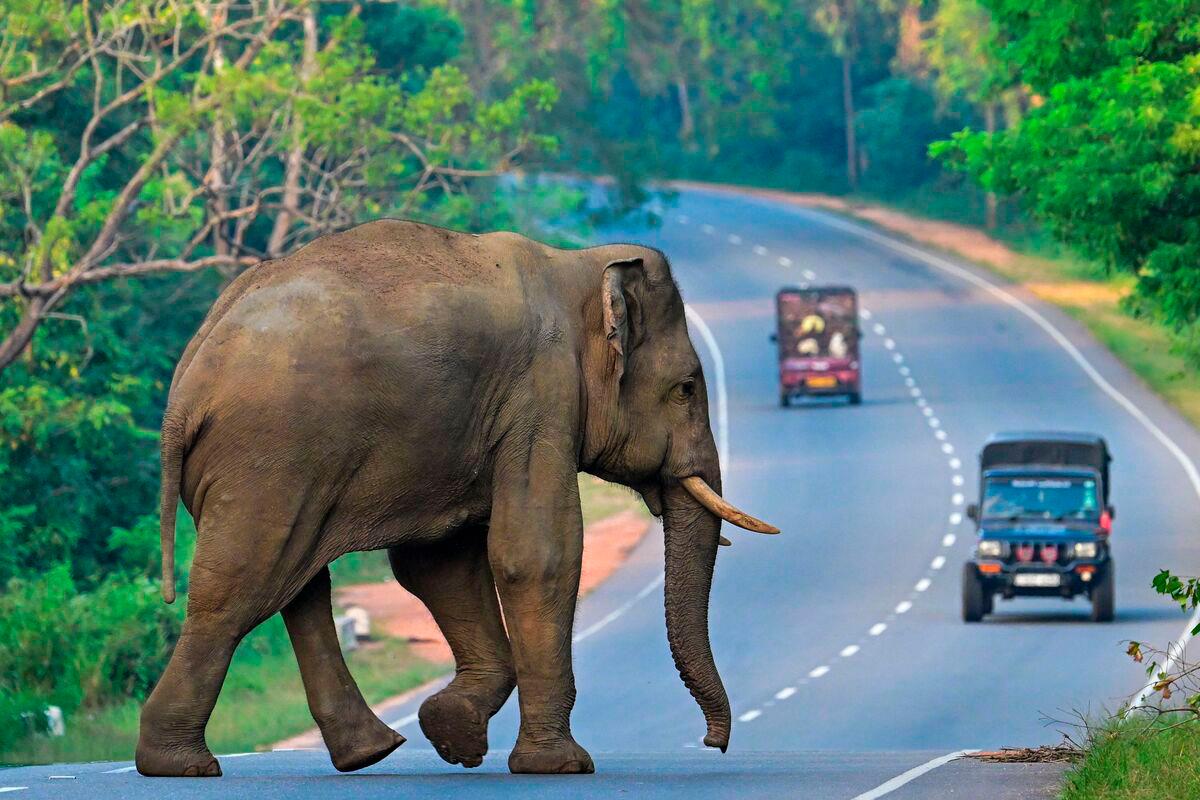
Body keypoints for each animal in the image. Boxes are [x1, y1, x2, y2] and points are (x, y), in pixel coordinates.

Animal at [135, 219, 778, 778]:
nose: (713, 743)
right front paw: (560, 766)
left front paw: (452, 735)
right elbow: (535, 553)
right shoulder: (540, 394)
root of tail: (185, 387)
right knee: (241, 589)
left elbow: (440, 565)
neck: (577, 268)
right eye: (686, 388)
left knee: (297, 582)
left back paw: (368, 753)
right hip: (269, 456)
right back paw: (182, 765)